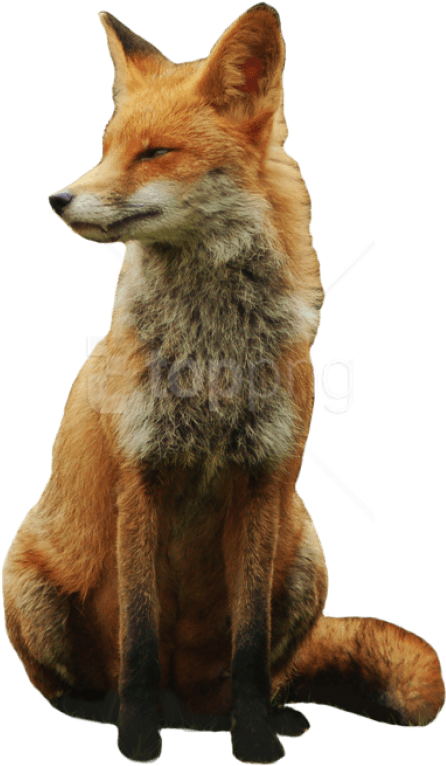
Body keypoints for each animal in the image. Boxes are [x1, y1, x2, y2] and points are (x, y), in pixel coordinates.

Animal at [2, 4, 444, 764]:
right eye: (107, 148)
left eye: (154, 153)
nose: (59, 199)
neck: (212, 362)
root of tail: (188, 704)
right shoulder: (140, 481)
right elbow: (140, 640)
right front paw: (138, 737)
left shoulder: (265, 480)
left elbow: (249, 647)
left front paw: (255, 737)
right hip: (28, 582)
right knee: (75, 683)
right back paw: (104, 709)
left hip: (305, 557)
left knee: (260, 672)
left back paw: (255, 715)